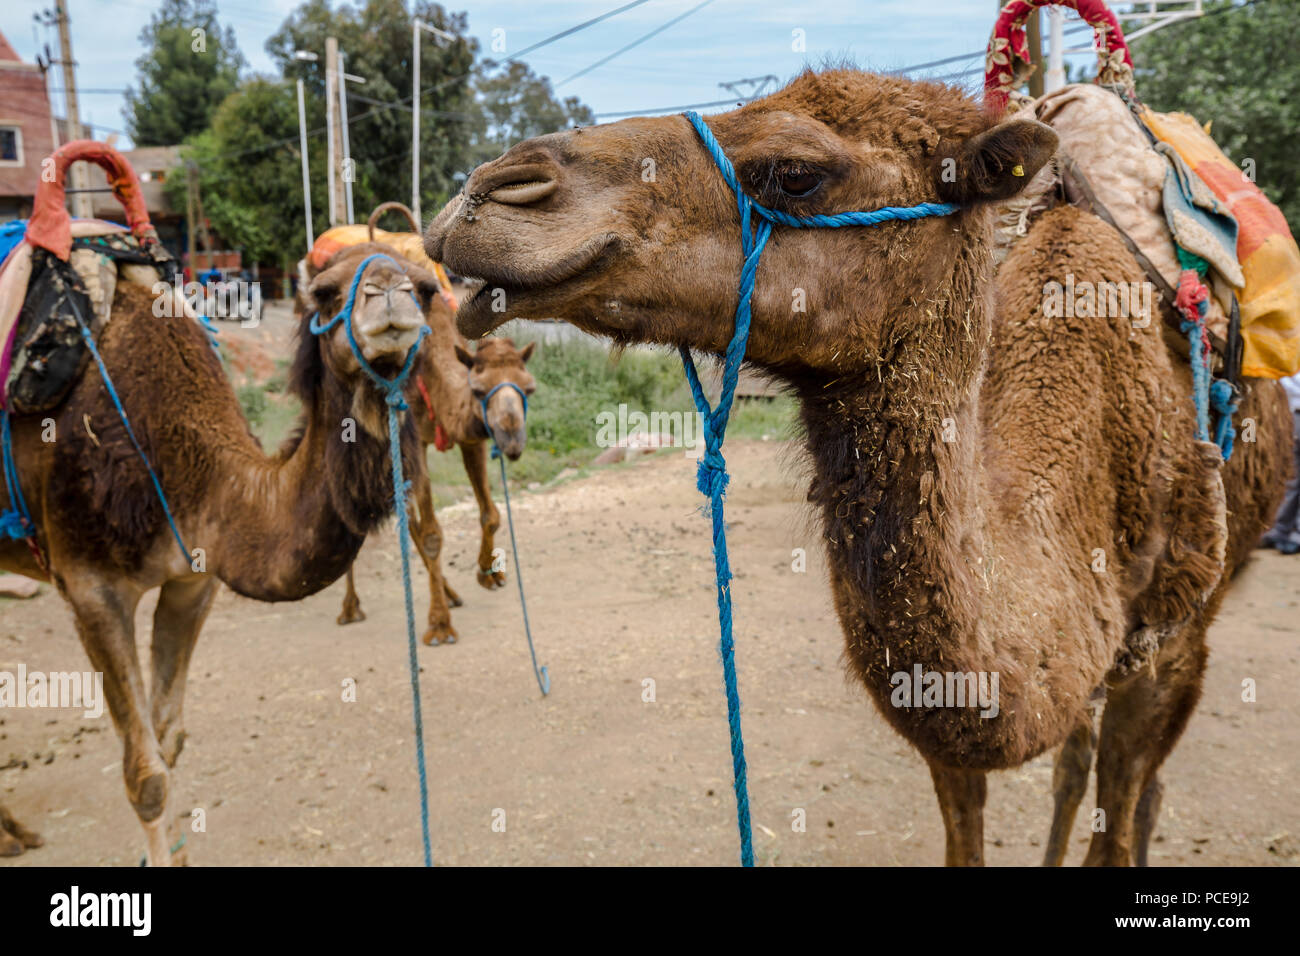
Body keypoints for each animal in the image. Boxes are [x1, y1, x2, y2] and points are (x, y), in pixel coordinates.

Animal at [0, 241, 441, 864]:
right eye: (325, 292)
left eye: (426, 288)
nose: (389, 294)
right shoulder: (90, 587)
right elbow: (147, 778)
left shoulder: (191, 580)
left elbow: (168, 740)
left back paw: (14, 833)